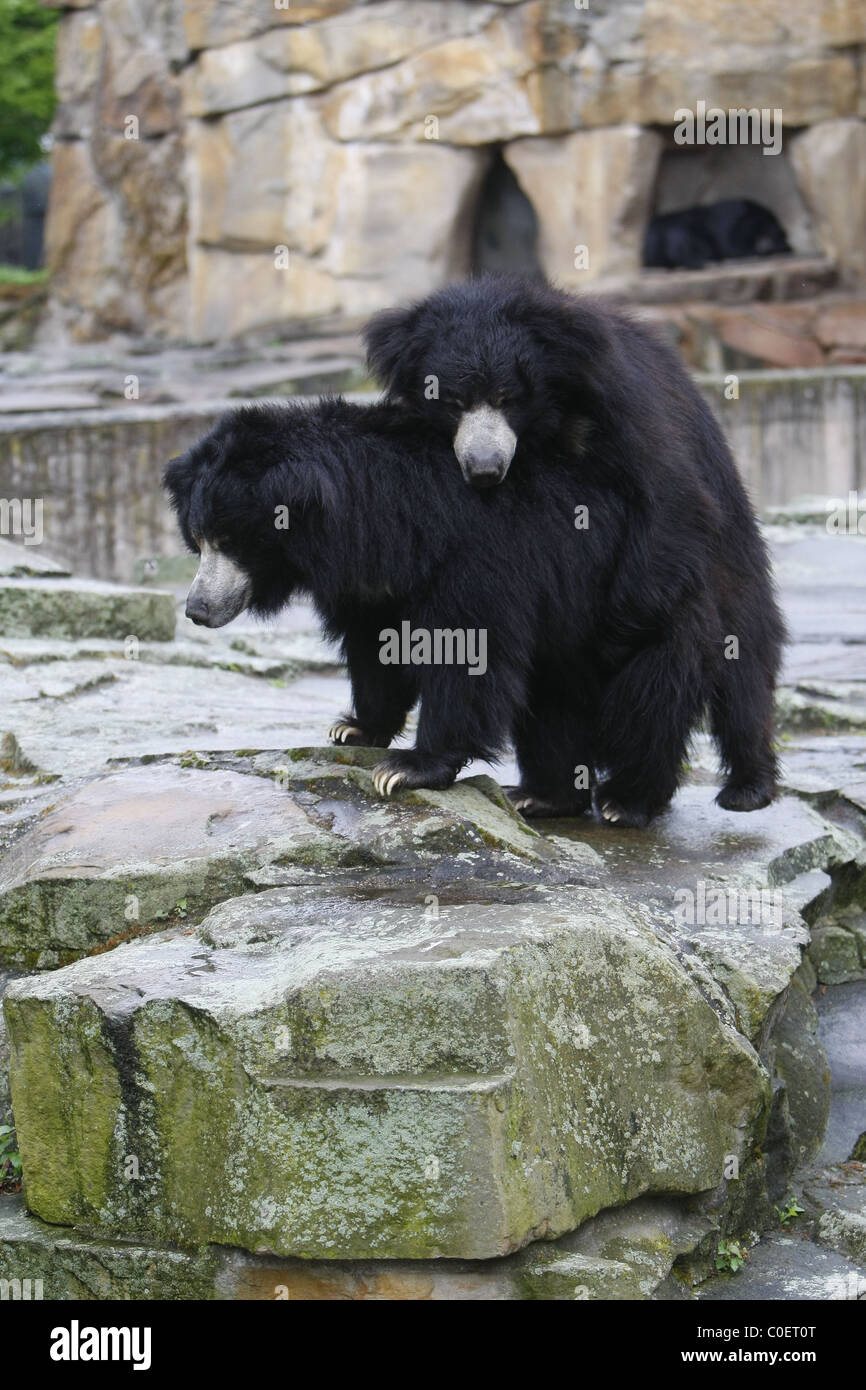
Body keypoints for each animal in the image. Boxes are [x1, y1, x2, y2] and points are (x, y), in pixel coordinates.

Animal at [164, 393, 782, 826]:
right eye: (198, 539)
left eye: (229, 541)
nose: (197, 609)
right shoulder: (374, 583)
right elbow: (376, 648)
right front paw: (355, 729)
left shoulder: (475, 556)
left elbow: (466, 649)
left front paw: (406, 769)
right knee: (555, 702)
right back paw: (542, 797)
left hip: (652, 600)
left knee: (651, 696)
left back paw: (627, 801)